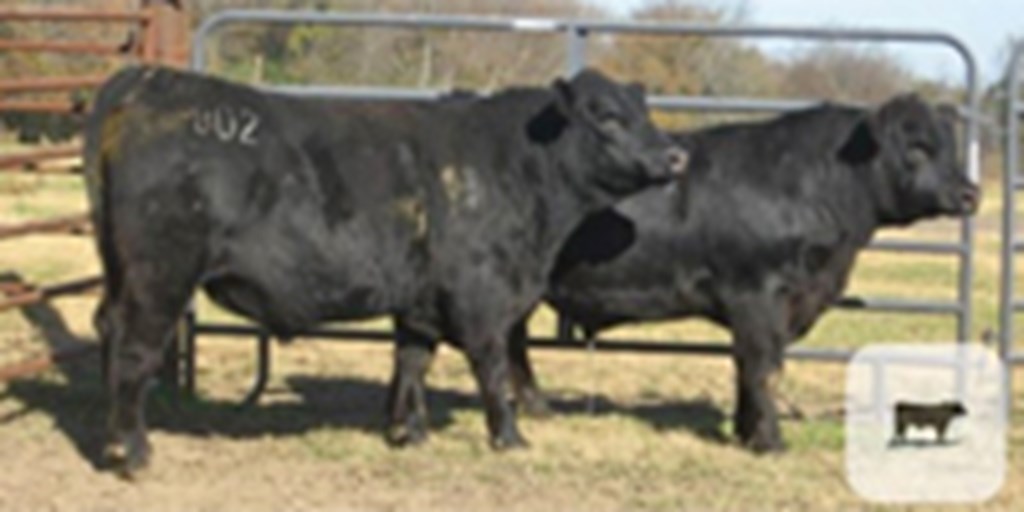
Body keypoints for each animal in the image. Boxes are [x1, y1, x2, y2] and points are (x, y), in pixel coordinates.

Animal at [83, 65, 688, 476]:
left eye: (644, 110)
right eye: (606, 116)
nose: (676, 155)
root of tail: (151, 79)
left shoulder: (420, 300)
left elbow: (413, 361)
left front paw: (409, 432)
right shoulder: (482, 300)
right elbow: (492, 368)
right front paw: (510, 437)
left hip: (121, 272)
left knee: (109, 329)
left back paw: (108, 436)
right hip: (160, 275)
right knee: (135, 347)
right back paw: (133, 451)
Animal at [391, 94, 980, 453]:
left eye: (949, 144)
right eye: (917, 147)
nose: (971, 192)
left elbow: (747, 367)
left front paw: (744, 430)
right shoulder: (759, 294)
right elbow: (763, 366)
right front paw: (768, 440)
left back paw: (526, 411)